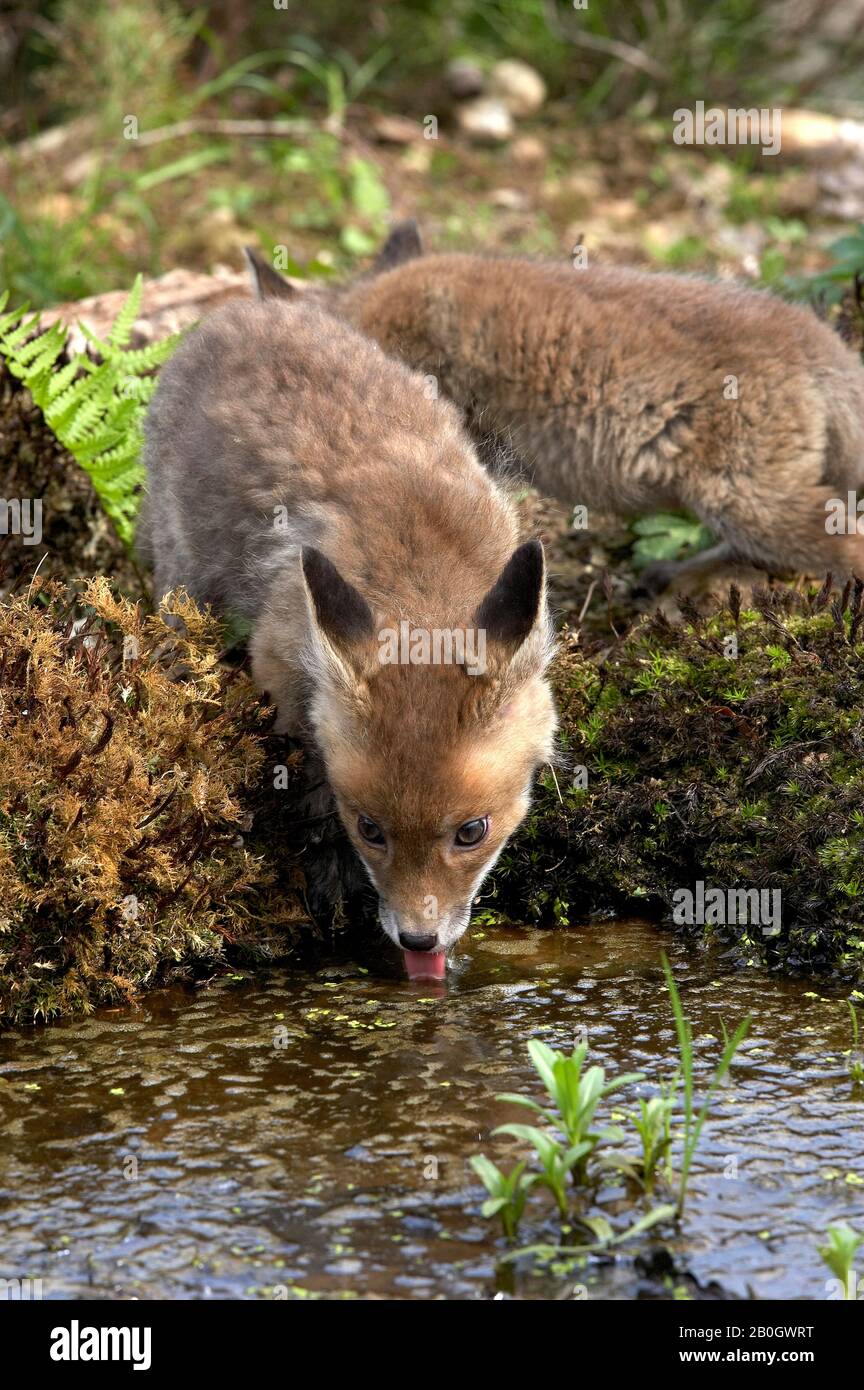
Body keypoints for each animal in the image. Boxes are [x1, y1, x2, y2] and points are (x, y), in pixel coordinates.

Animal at [139, 296, 557, 978]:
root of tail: (245, 307)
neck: (419, 583)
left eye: (472, 831)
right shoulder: (278, 662)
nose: (419, 942)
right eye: (370, 829)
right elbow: (307, 785)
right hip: (185, 583)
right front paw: (327, 879)